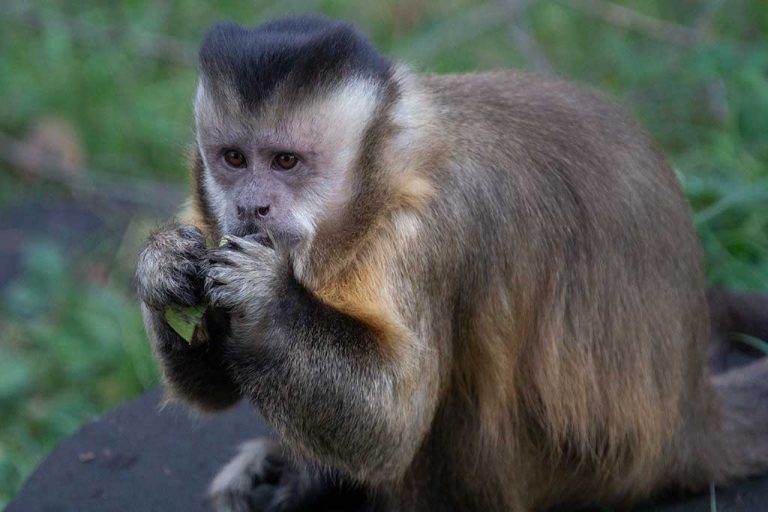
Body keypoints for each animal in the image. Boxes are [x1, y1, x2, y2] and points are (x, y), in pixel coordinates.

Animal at [134, 15, 768, 512]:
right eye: (234, 159)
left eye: (286, 161)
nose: (251, 205)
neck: (386, 173)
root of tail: (692, 419)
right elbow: (214, 385)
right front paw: (161, 268)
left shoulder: (431, 229)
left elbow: (391, 428)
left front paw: (263, 295)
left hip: (576, 472)